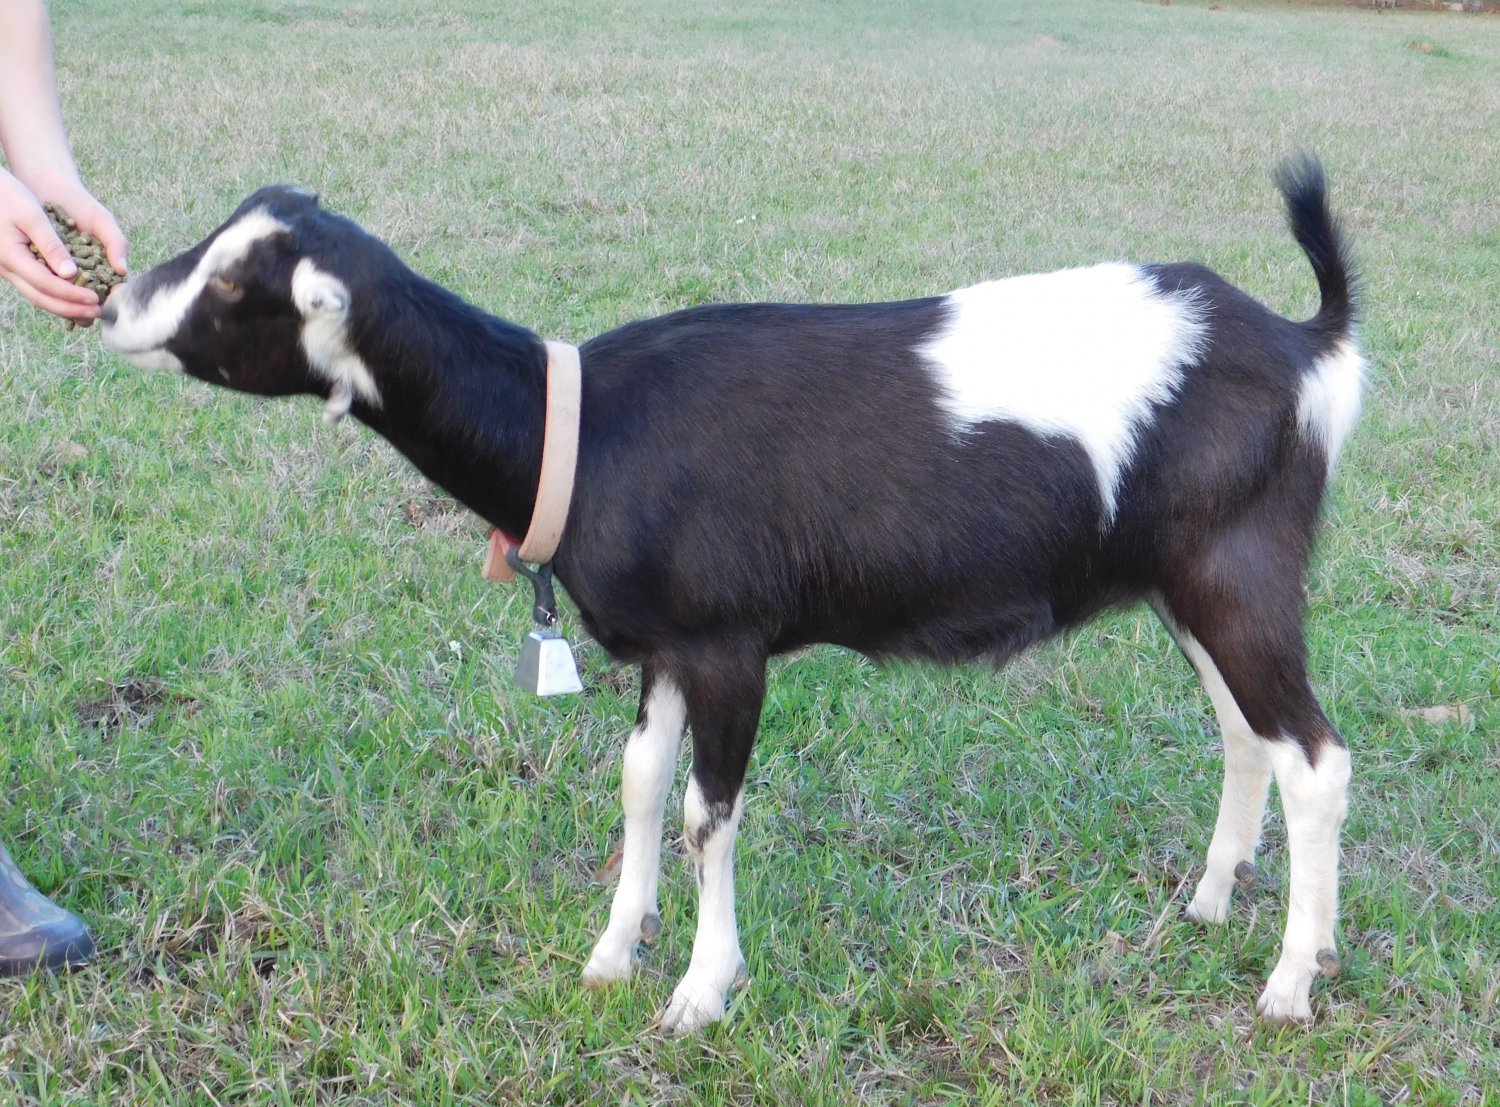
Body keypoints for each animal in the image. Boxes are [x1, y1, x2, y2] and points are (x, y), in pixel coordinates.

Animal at [102, 157, 1363, 1033]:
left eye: (233, 284)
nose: (112, 303)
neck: (581, 430)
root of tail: (1307, 346)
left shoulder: (726, 645)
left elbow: (710, 812)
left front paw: (701, 994)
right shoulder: (663, 648)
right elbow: (639, 785)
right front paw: (612, 955)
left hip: (1238, 569)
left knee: (1315, 755)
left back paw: (1291, 983)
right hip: (1184, 583)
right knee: (1245, 735)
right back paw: (1209, 903)